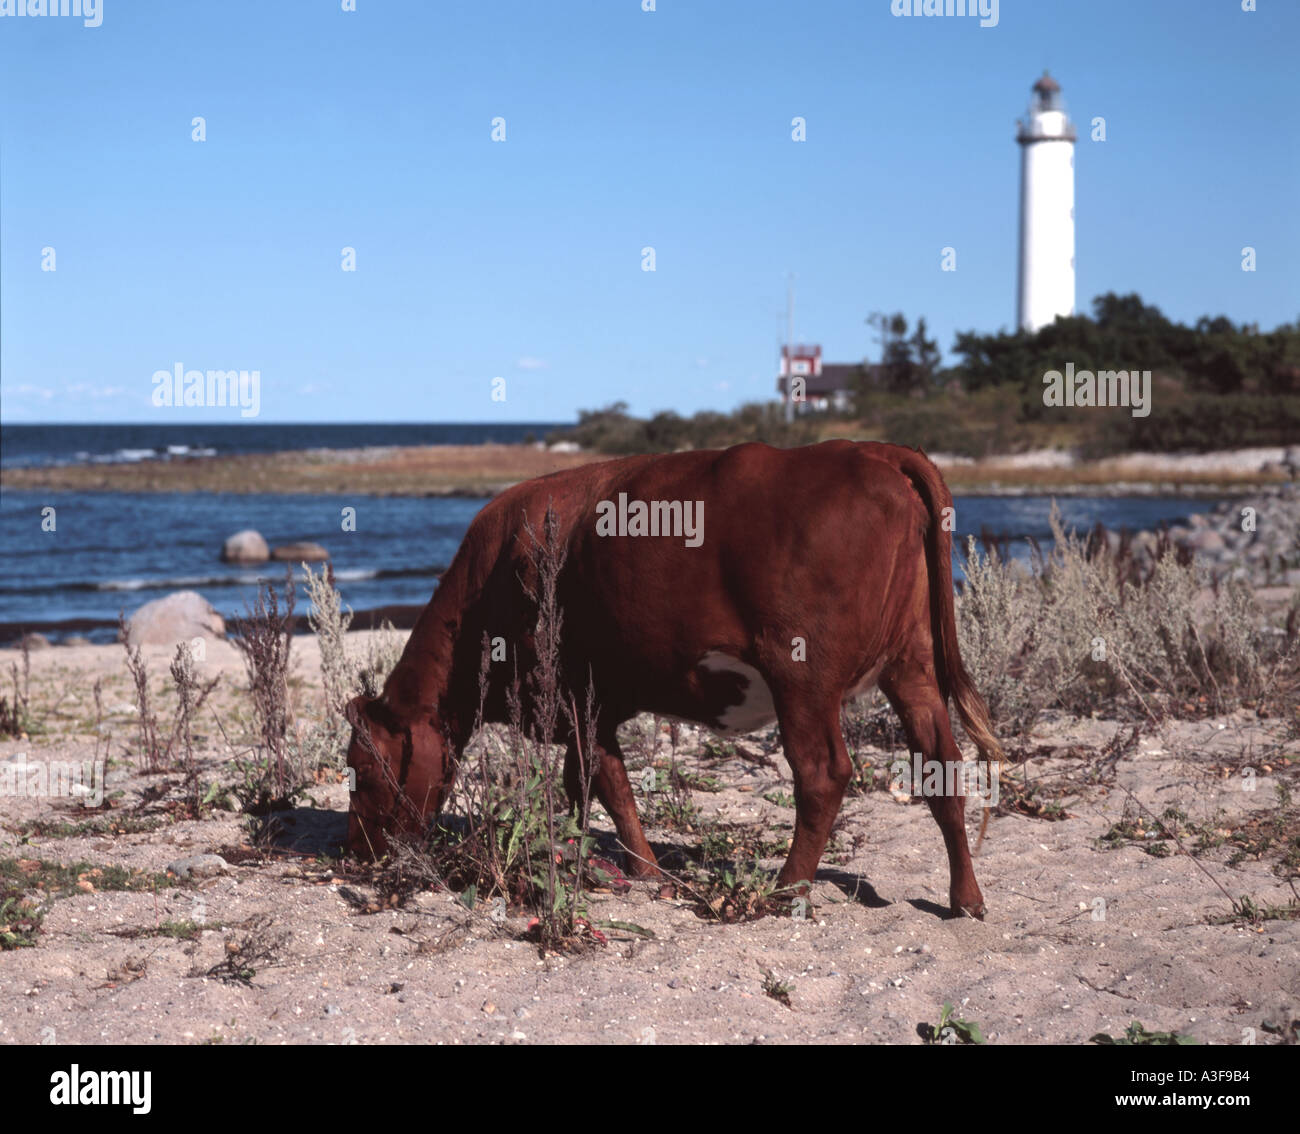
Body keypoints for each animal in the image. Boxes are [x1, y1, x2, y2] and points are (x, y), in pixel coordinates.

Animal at [344, 439, 1002, 918]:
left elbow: (603, 780)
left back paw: (787, 888)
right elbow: (591, 780)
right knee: (943, 767)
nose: (355, 854)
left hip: (802, 676)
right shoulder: (595, 703)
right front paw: (607, 857)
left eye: (362, 768)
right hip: (912, 667)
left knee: (823, 775)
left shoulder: (574, 697)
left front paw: (636, 868)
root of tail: (874, 452)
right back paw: (965, 899)